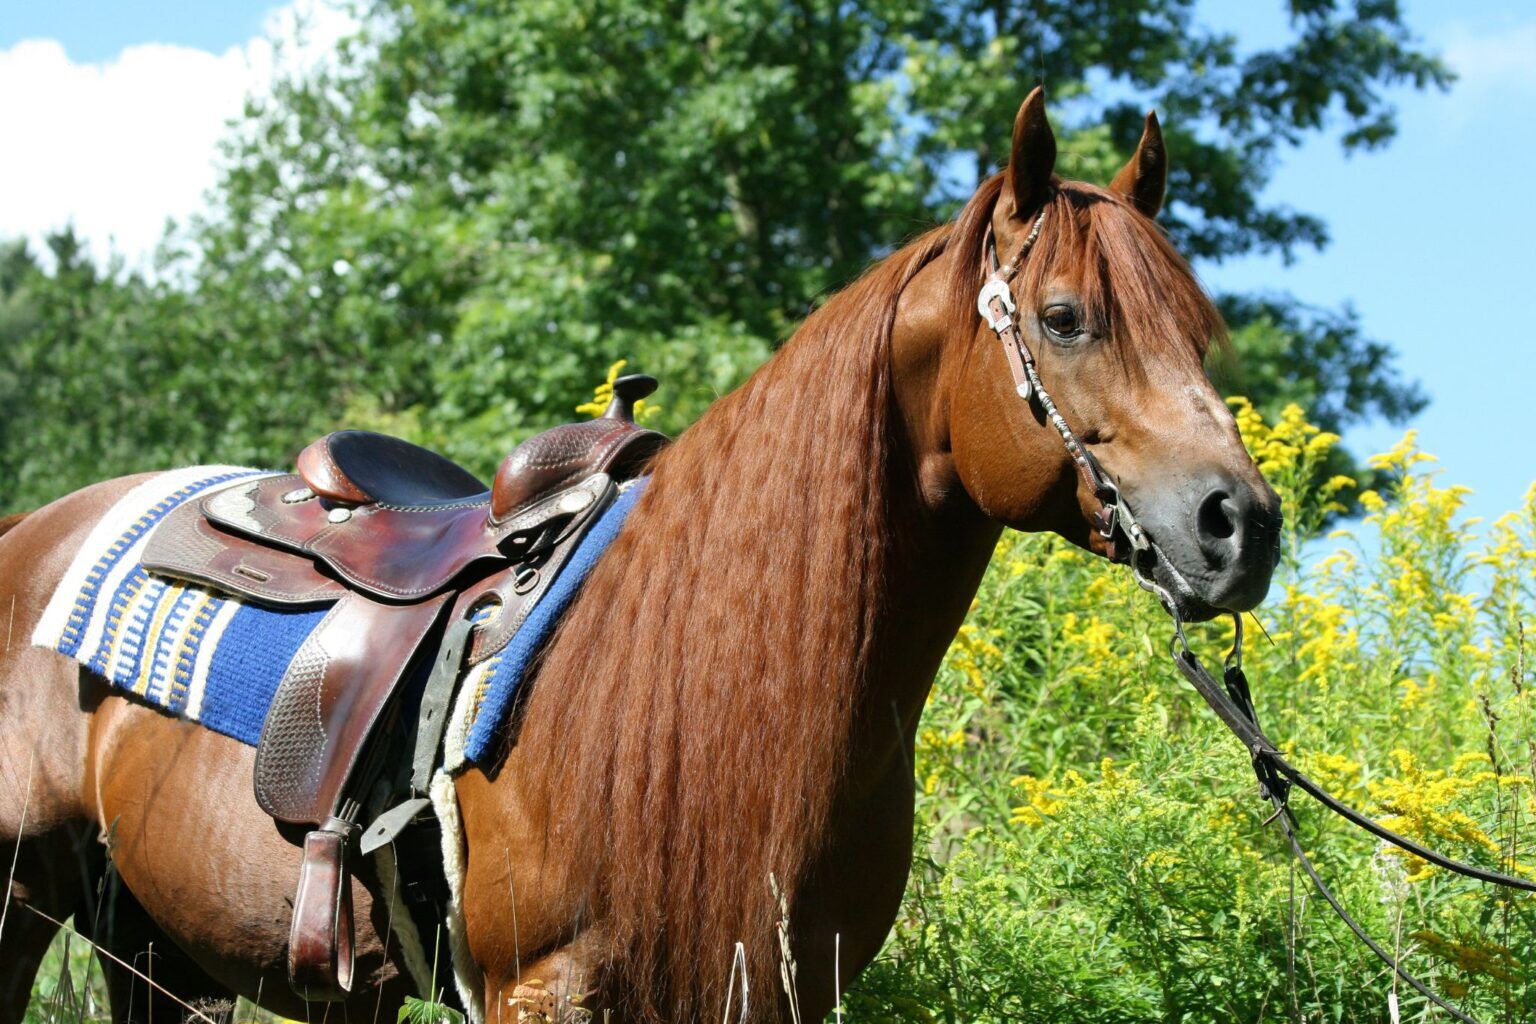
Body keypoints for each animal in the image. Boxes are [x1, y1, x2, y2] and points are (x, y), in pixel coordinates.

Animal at [0, 88, 1279, 1024]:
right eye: (1065, 318)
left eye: (1194, 329)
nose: (1242, 524)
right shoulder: (546, 991)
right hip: (21, 900)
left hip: (164, 948)